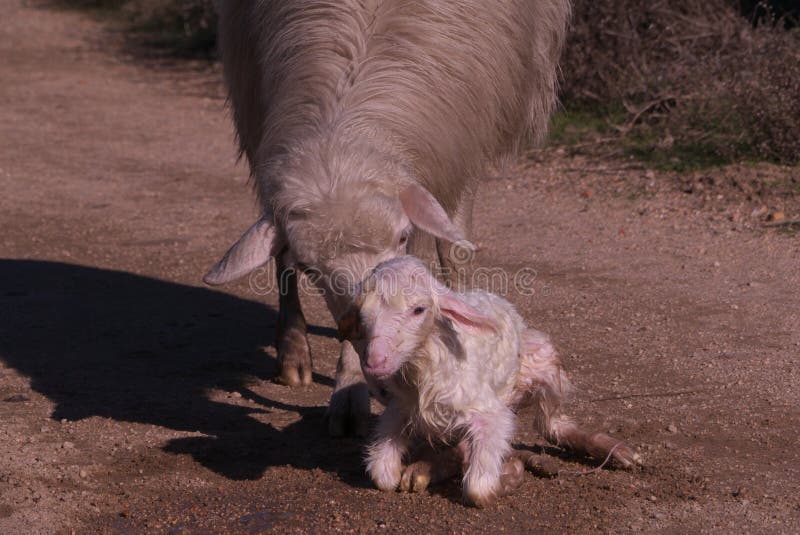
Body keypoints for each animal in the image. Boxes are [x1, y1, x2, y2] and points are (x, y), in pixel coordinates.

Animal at [204, 0, 572, 436]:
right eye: (310, 267)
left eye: (402, 237)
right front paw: (349, 391)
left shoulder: (462, 138)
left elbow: (455, 250)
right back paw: (293, 353)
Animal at [339, 256, 641, 506]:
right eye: (362, 312)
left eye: (419, 309)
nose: (375, 362)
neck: (426, 364)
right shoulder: (399, 407)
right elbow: (382, 475)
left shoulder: (490, 411)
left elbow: (478, 489)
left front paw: (509, 478)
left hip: (543, 358)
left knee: (550, 425)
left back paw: (618, 452)